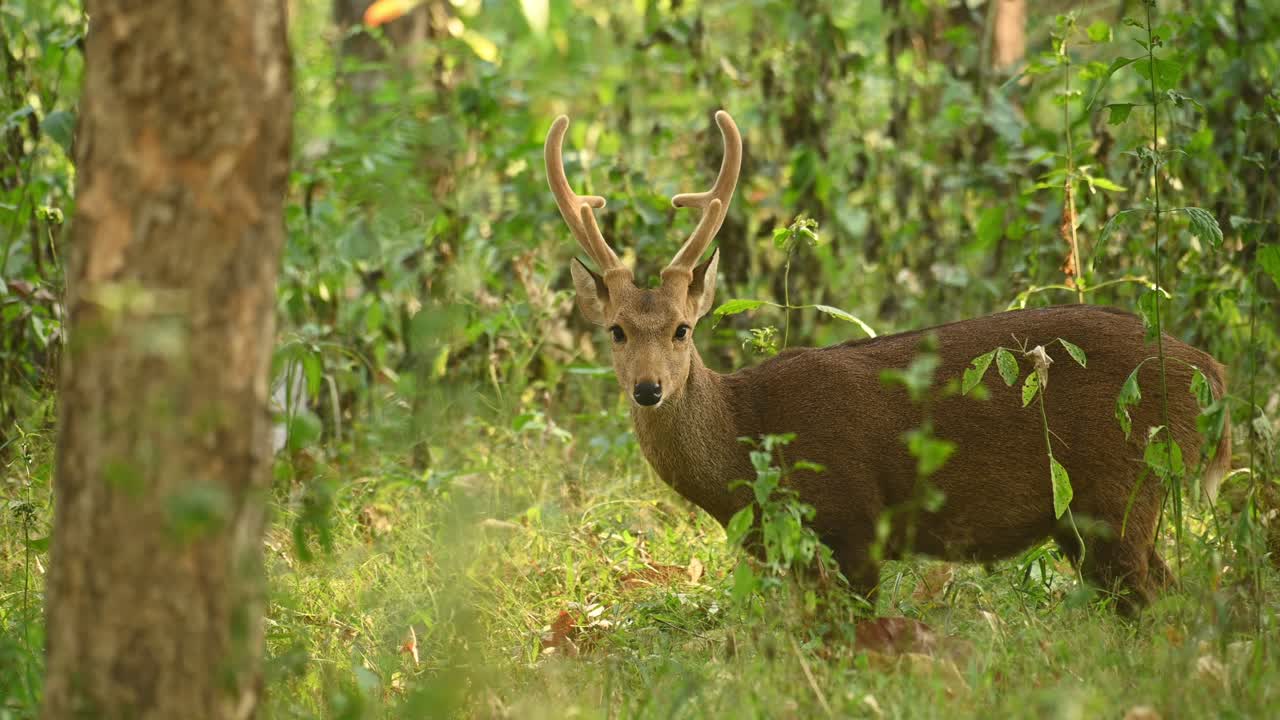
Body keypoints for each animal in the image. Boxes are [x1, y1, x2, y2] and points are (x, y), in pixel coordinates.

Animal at [545, 110, 1231, 615]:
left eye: (683, 329)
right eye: (615, 331)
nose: (649, 389)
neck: (748, 433)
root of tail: (1210, 374)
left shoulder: (856, 521)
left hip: (1123, 487)